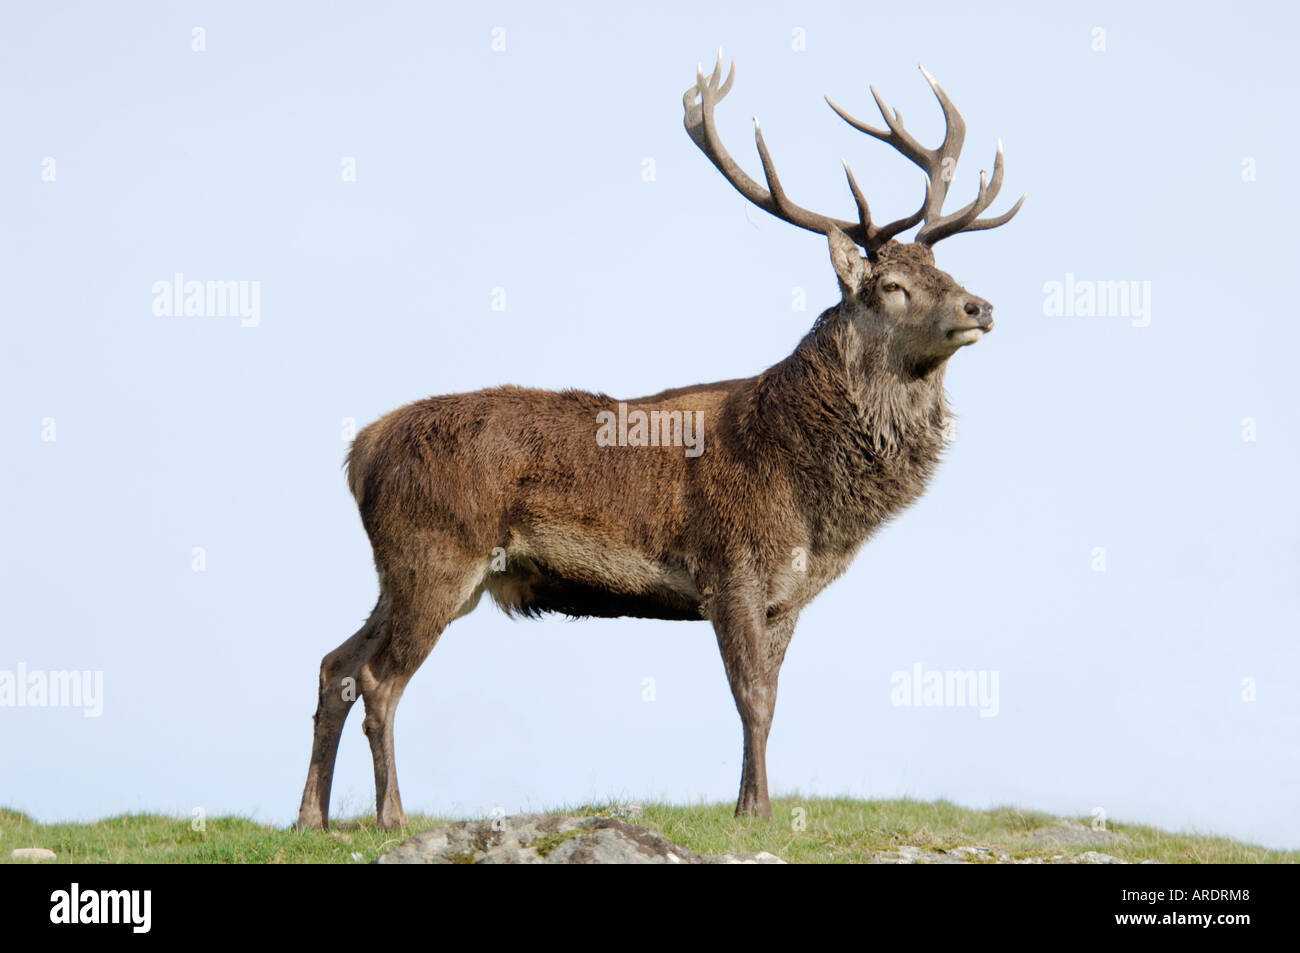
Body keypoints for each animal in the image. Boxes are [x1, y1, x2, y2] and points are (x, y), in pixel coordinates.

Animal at [296, 54, 1024, 830]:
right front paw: (756, 811)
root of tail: (361, 451)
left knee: (335, 664)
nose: (979, 305)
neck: (812, 495)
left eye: (944, 273)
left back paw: (312, 818)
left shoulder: (788, 595)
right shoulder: (730, 564)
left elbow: (771, 696)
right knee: (378, 678)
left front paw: (748, 801)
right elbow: (751, 696)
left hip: (401, 567)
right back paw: (390, 817)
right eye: (891, 285)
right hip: (437, 552)